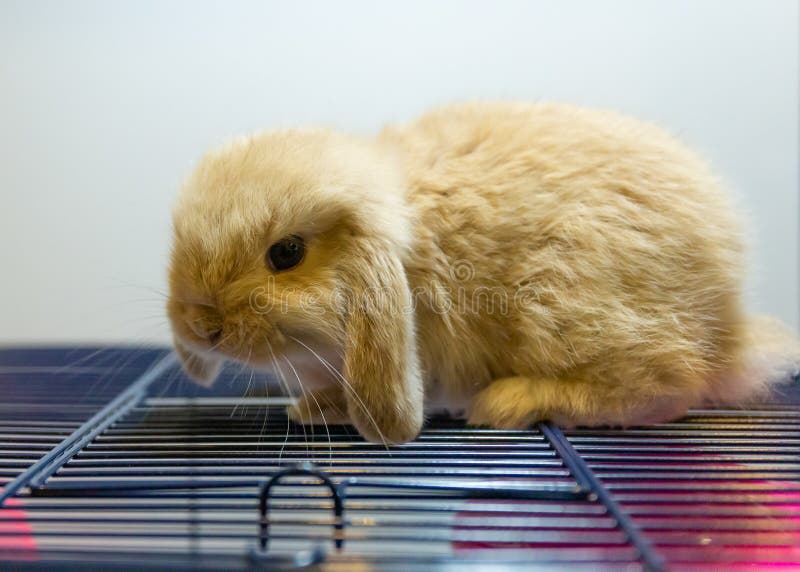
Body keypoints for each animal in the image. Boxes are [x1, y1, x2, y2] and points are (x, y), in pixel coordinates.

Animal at [167, 101, 800, 444]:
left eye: (287, 253)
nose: (202, 327)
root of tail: (729, 323)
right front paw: (311, 407)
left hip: (562, 307)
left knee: (670, 385)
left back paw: (507, 404)